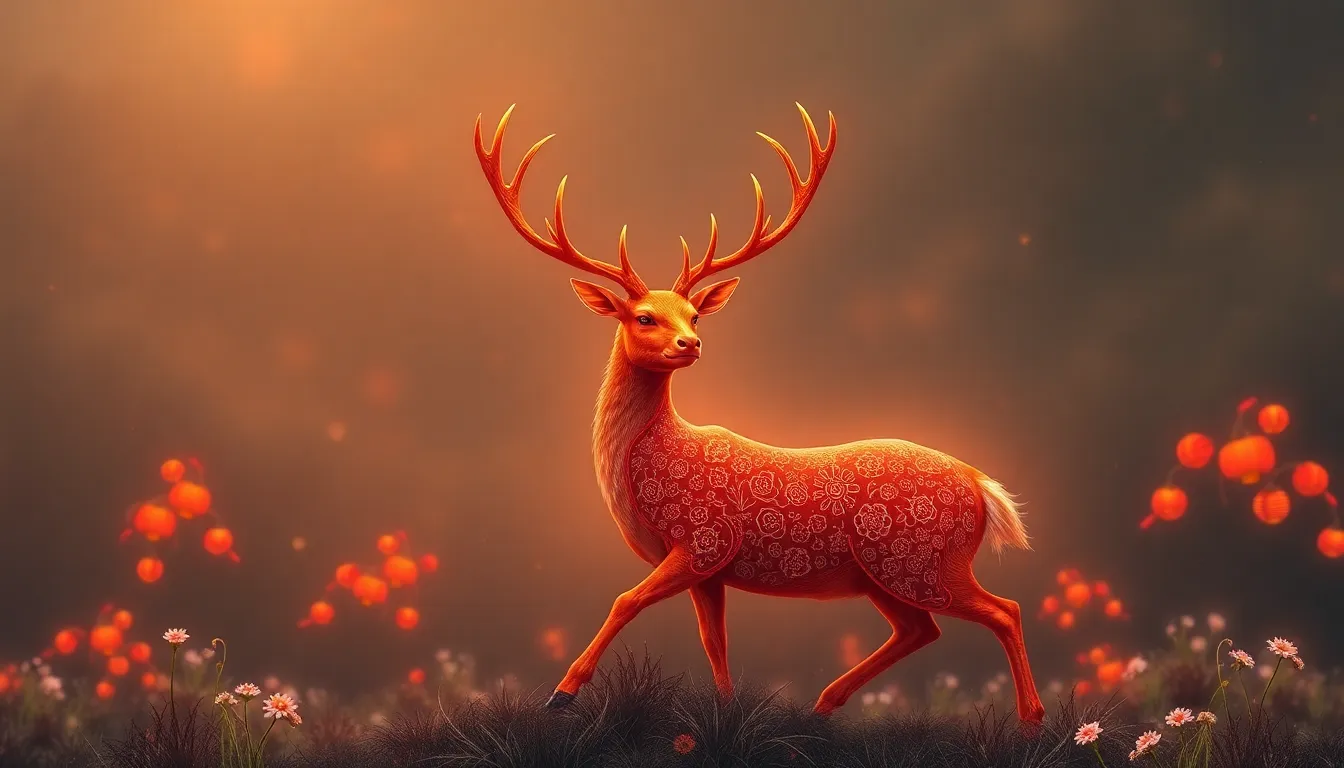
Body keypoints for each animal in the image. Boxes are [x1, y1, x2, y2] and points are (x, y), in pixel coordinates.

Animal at [473, 103, 1047, 723]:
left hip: (922, 560)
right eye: (644, 317)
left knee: (1004, 610)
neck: (644, 470)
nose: (691, 344)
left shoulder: (703, 539)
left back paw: (1031, 720)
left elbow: (626, 600)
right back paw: (823, 706)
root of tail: (981, 484)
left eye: (694, 315)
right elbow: (714, 640)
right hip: (887, 575)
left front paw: (561, 694)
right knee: (923, 630)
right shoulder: (710, 568)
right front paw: (726, 713)